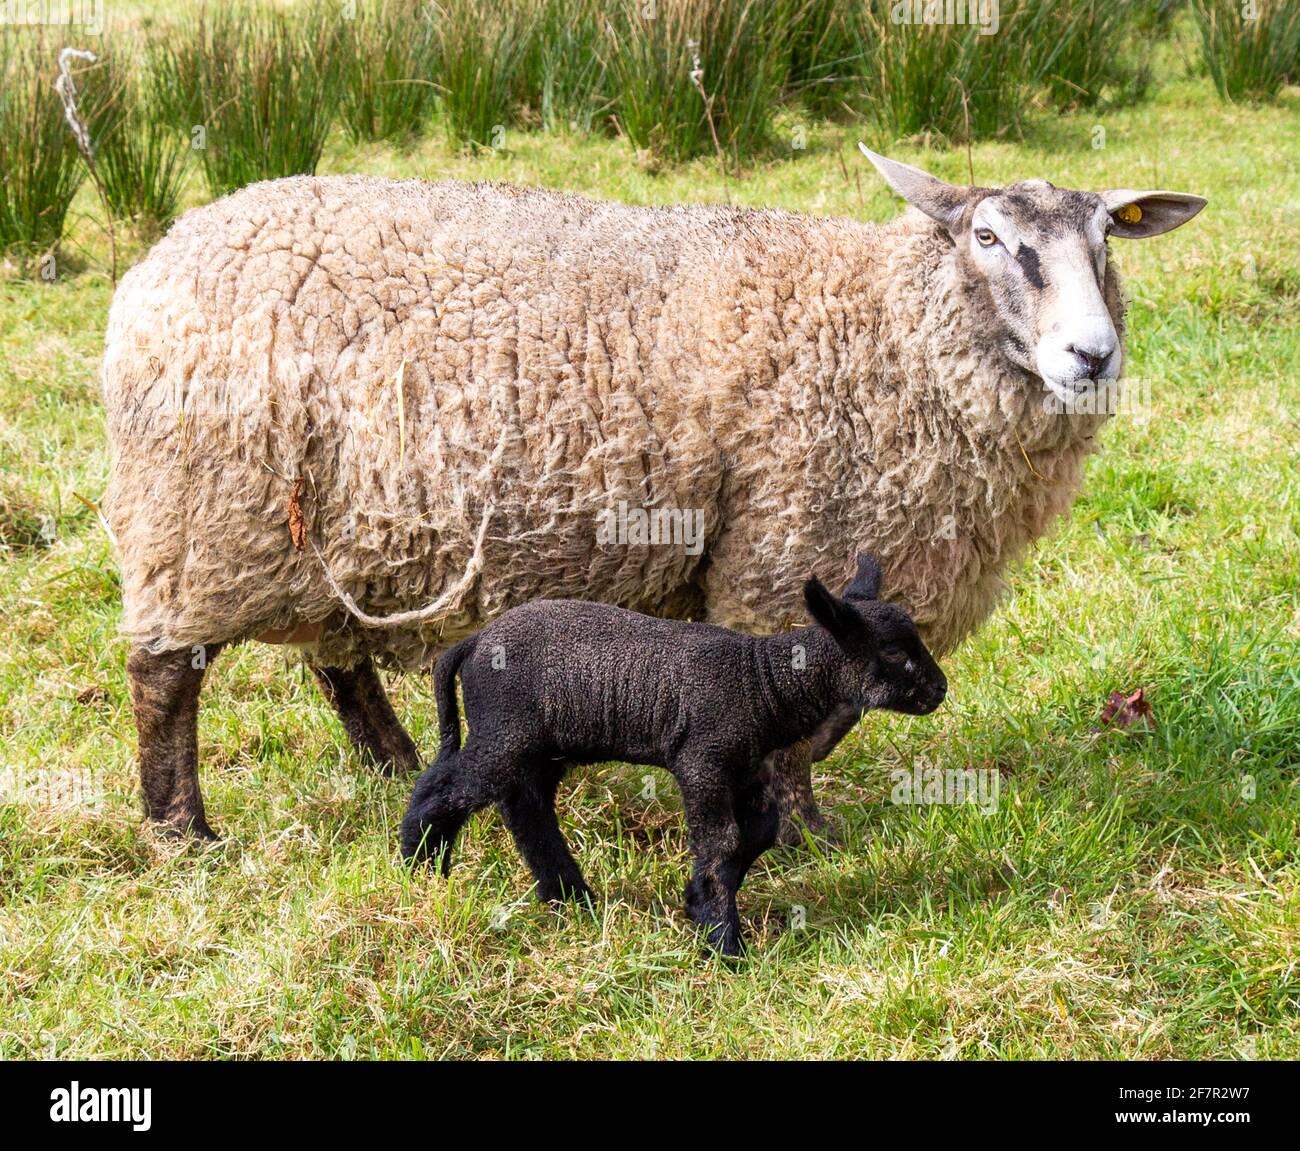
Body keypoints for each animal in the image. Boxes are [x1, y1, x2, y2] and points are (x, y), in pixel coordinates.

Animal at [100, 151, 1205, 842]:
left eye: (1108, 239)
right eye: (986, 236)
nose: (1091, 353)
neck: (884, 335)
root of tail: (158, 262)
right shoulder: (782, 549)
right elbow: (802, 718)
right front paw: (808, 833)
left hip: (341, 528)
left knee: (338, 660)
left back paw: (391, 765)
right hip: (205, 513)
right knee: (164, 675)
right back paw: (181, 832)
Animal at [400, 554, 947, 955]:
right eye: (894, 653)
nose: (940, 689)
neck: (764, 682)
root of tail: (472, 644)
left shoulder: (745, 766)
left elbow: (759, 831)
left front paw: (698, 905)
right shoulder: (702, 760)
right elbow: (723, 840)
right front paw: (723, 944)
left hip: (539, 747)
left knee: (525, 809)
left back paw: (569, 899)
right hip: (505, 730)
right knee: (443, 789)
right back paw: (421, 868)